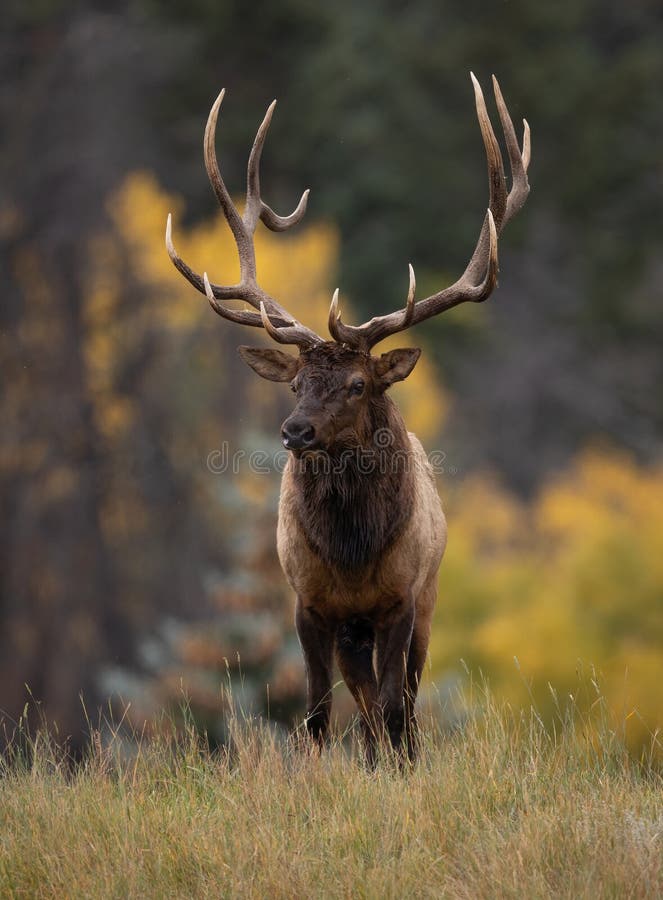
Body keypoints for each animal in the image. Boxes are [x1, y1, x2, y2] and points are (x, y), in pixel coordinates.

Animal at [166, 74, 530, 762]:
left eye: (359, 384)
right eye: (296, 384)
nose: (295, 431)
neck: (353, 555)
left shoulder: (402, 600)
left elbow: (394, 708)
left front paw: (395, 767)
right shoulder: (308, 602)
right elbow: (315, 712)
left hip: (427, 601)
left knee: (401, 705)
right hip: (350, 631)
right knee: (359, 706)